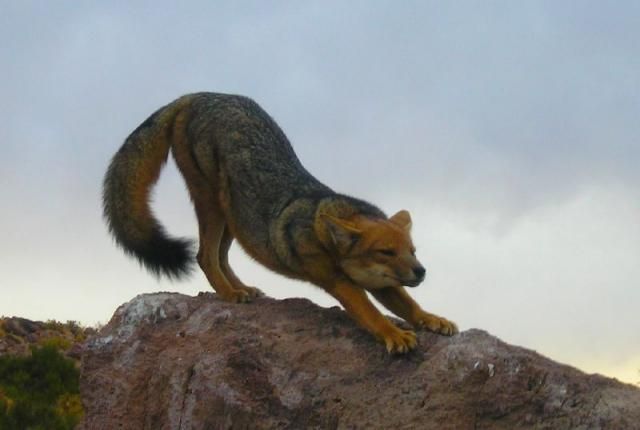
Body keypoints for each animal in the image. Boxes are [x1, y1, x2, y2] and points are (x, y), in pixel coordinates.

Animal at [103, 92, 458, 353]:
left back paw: (241, 289)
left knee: (220, 256)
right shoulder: (338, 282)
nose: (421, 271)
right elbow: (370, 312)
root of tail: (196, 95)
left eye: (412, 251)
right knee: (204, 256)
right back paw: (228, 294)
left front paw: (431, 319)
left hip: (234, 217)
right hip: (212, 206)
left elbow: (409, 304)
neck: (321, 228)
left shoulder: (382, 284)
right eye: (386, 252)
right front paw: (392, 334)